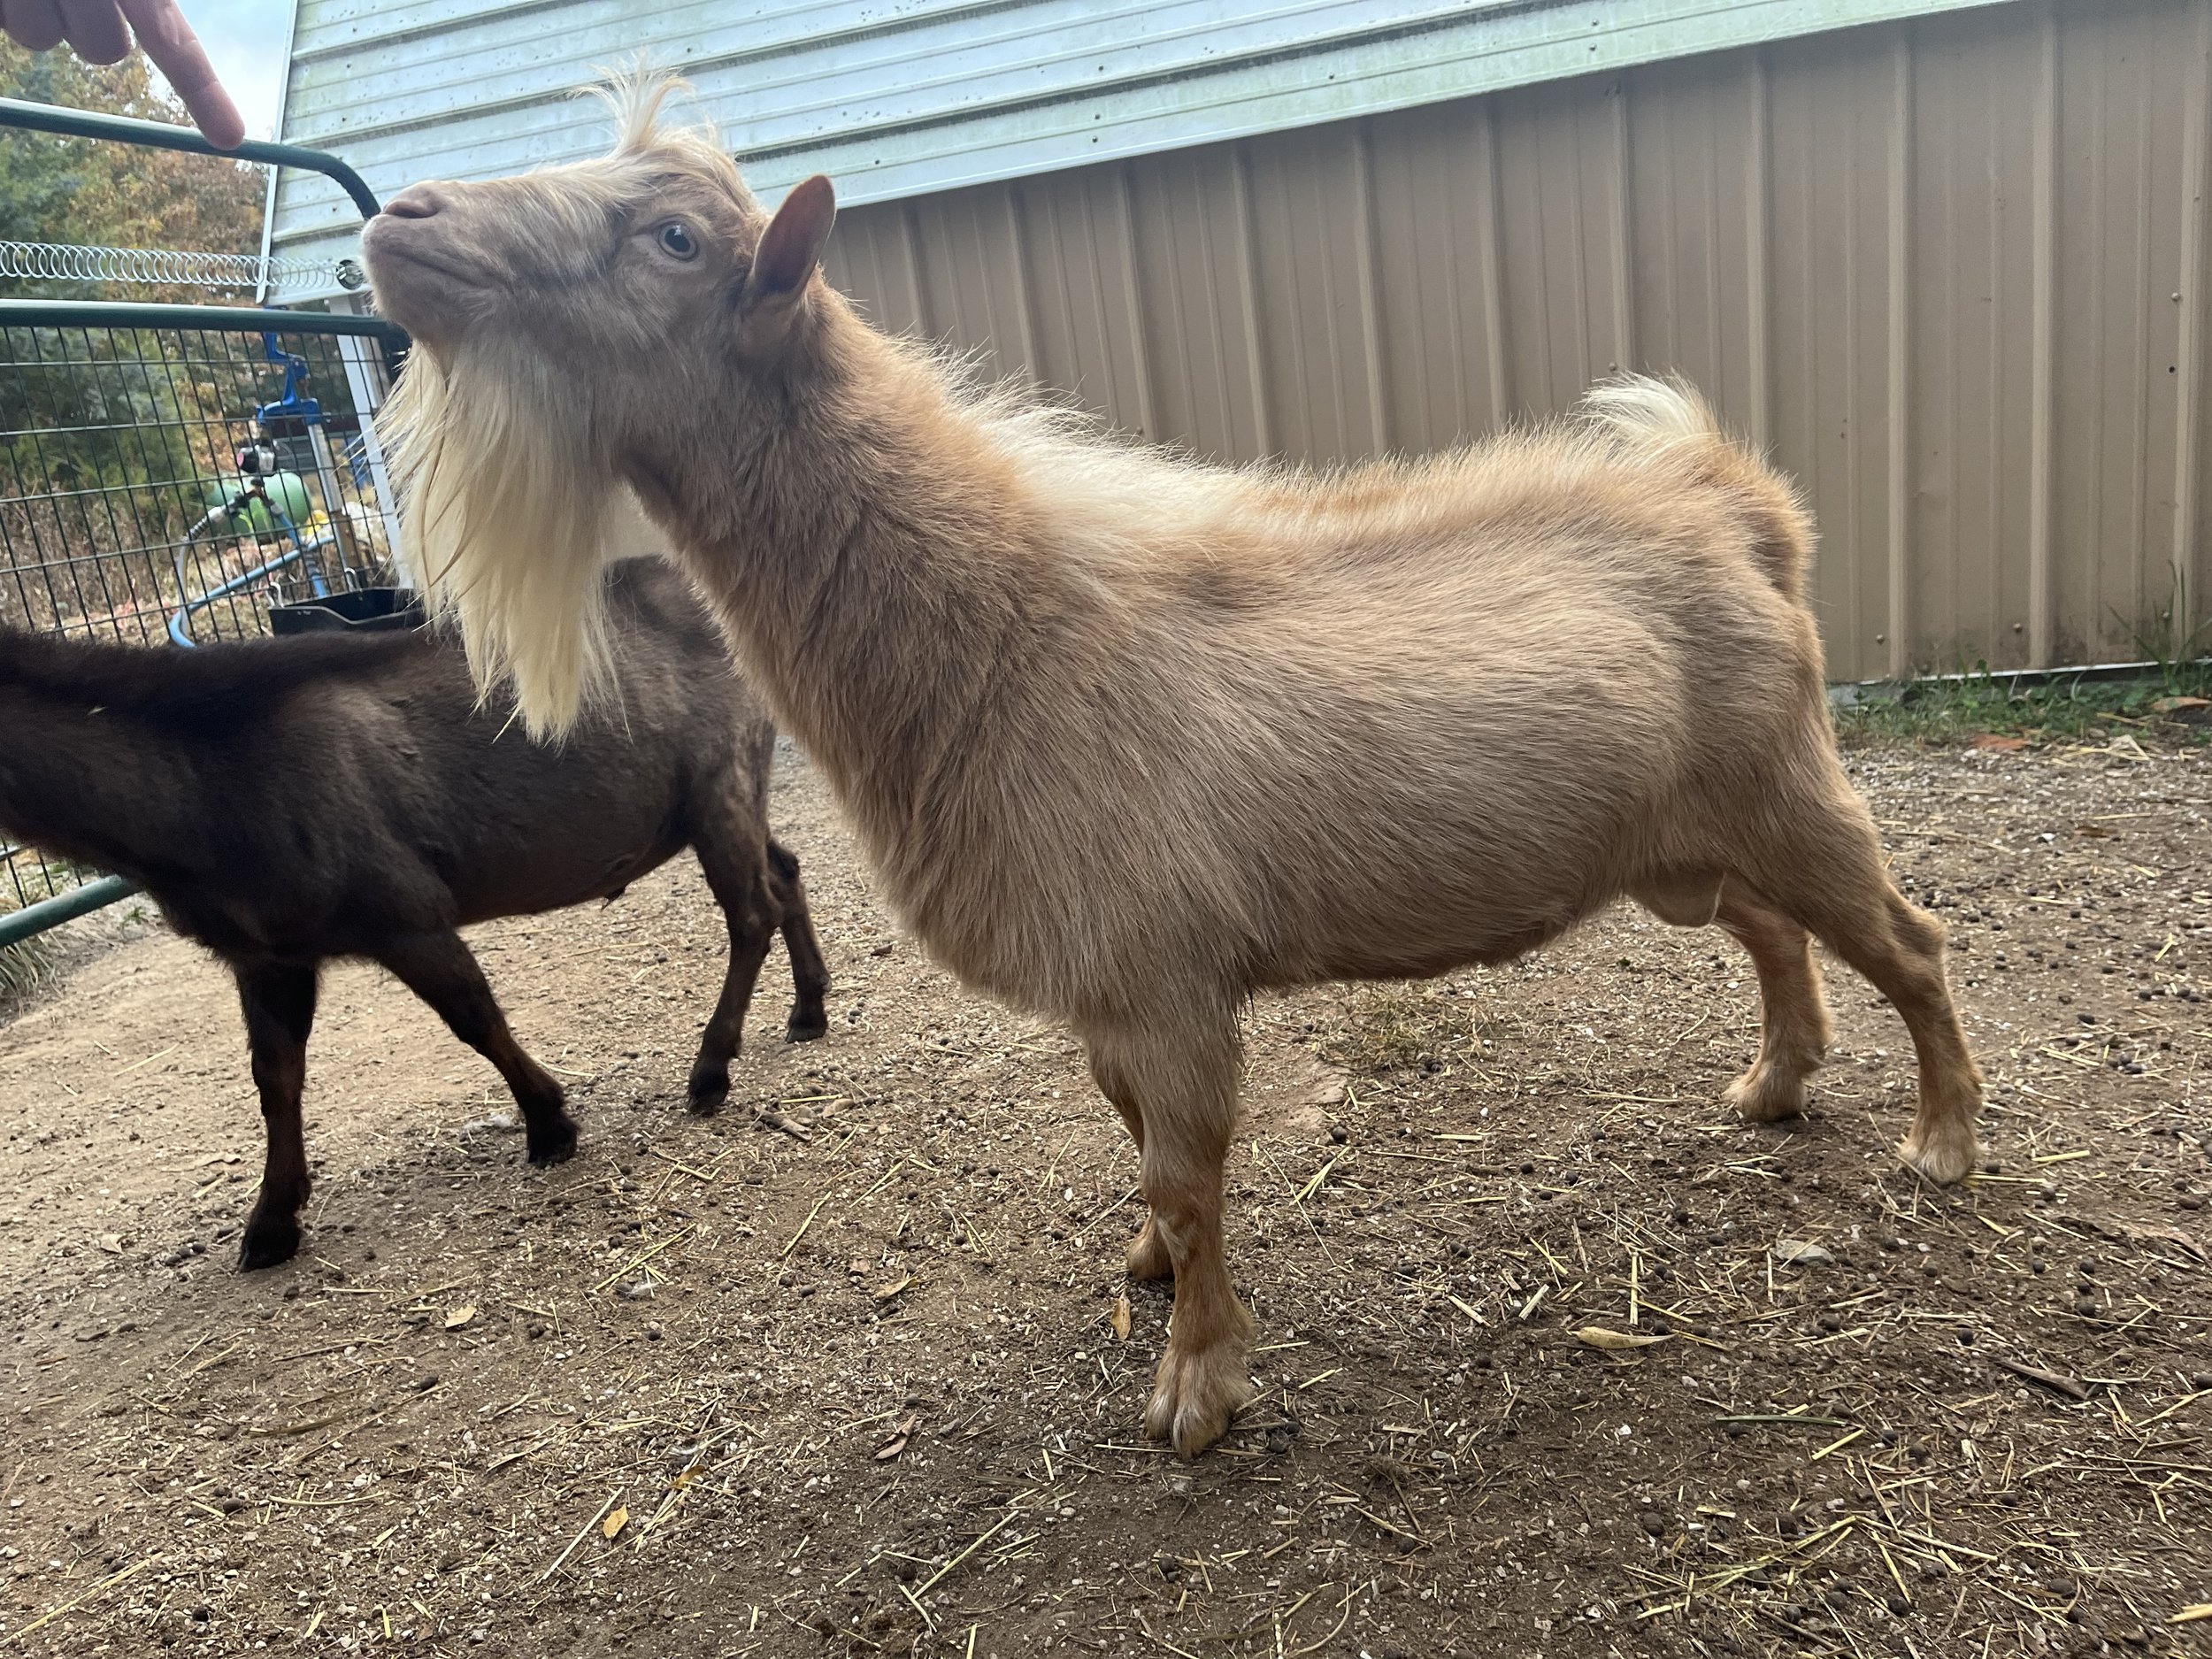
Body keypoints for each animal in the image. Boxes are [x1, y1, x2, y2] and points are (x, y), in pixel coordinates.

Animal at [0, 556, 830, 1269]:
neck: (208, 760)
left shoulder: (402, 911)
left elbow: (473, 1015)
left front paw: (550, 1123)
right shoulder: (269, 953)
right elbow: (275, 1076)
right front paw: (271, 1222)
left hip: (718, 777)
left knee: (751, 911)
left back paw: (711, 1070)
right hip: (719, 797)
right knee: (785, 873)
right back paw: (809, 1008)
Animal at [359, 89, 1983, 1457]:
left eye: (677, 238)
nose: (402, 222)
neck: (1004, 632)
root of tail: (1739, 506)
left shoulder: (1167, 983)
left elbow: (1188, 1169)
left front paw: (1197, 1388)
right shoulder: (1109, 987)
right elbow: (1135, 1138)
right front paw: (1144, 1272)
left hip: (1789, 790)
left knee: (1906, 939)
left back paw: (1943, 1140)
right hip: (1677, 847)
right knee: (1775, 934)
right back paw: (1774, 1083)